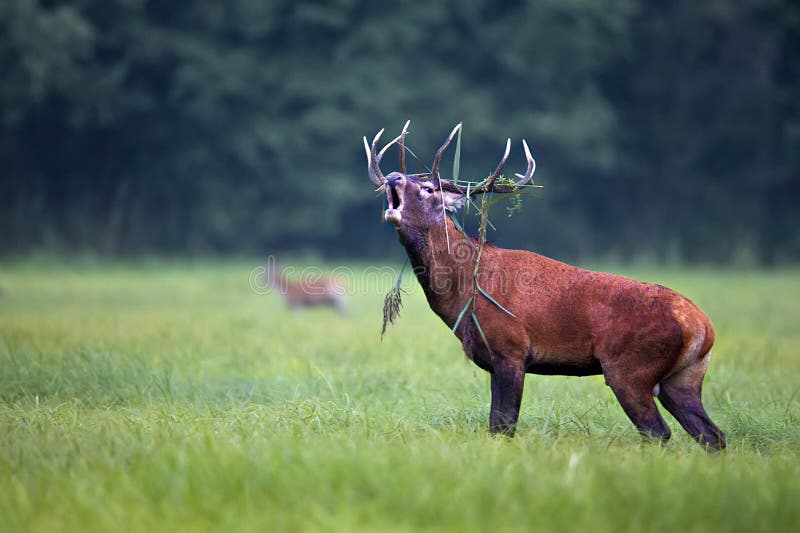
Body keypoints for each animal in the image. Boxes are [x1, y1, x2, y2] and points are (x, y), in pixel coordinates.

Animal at [363, 122, 726, 450]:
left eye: (427, 189)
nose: (393, 177)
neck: (465, 294)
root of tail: (701, 326)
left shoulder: (511, 350)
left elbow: (503, 426)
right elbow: (496, 425)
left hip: (630, 369)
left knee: (658, 432)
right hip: (684, 377)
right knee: (713, 434)